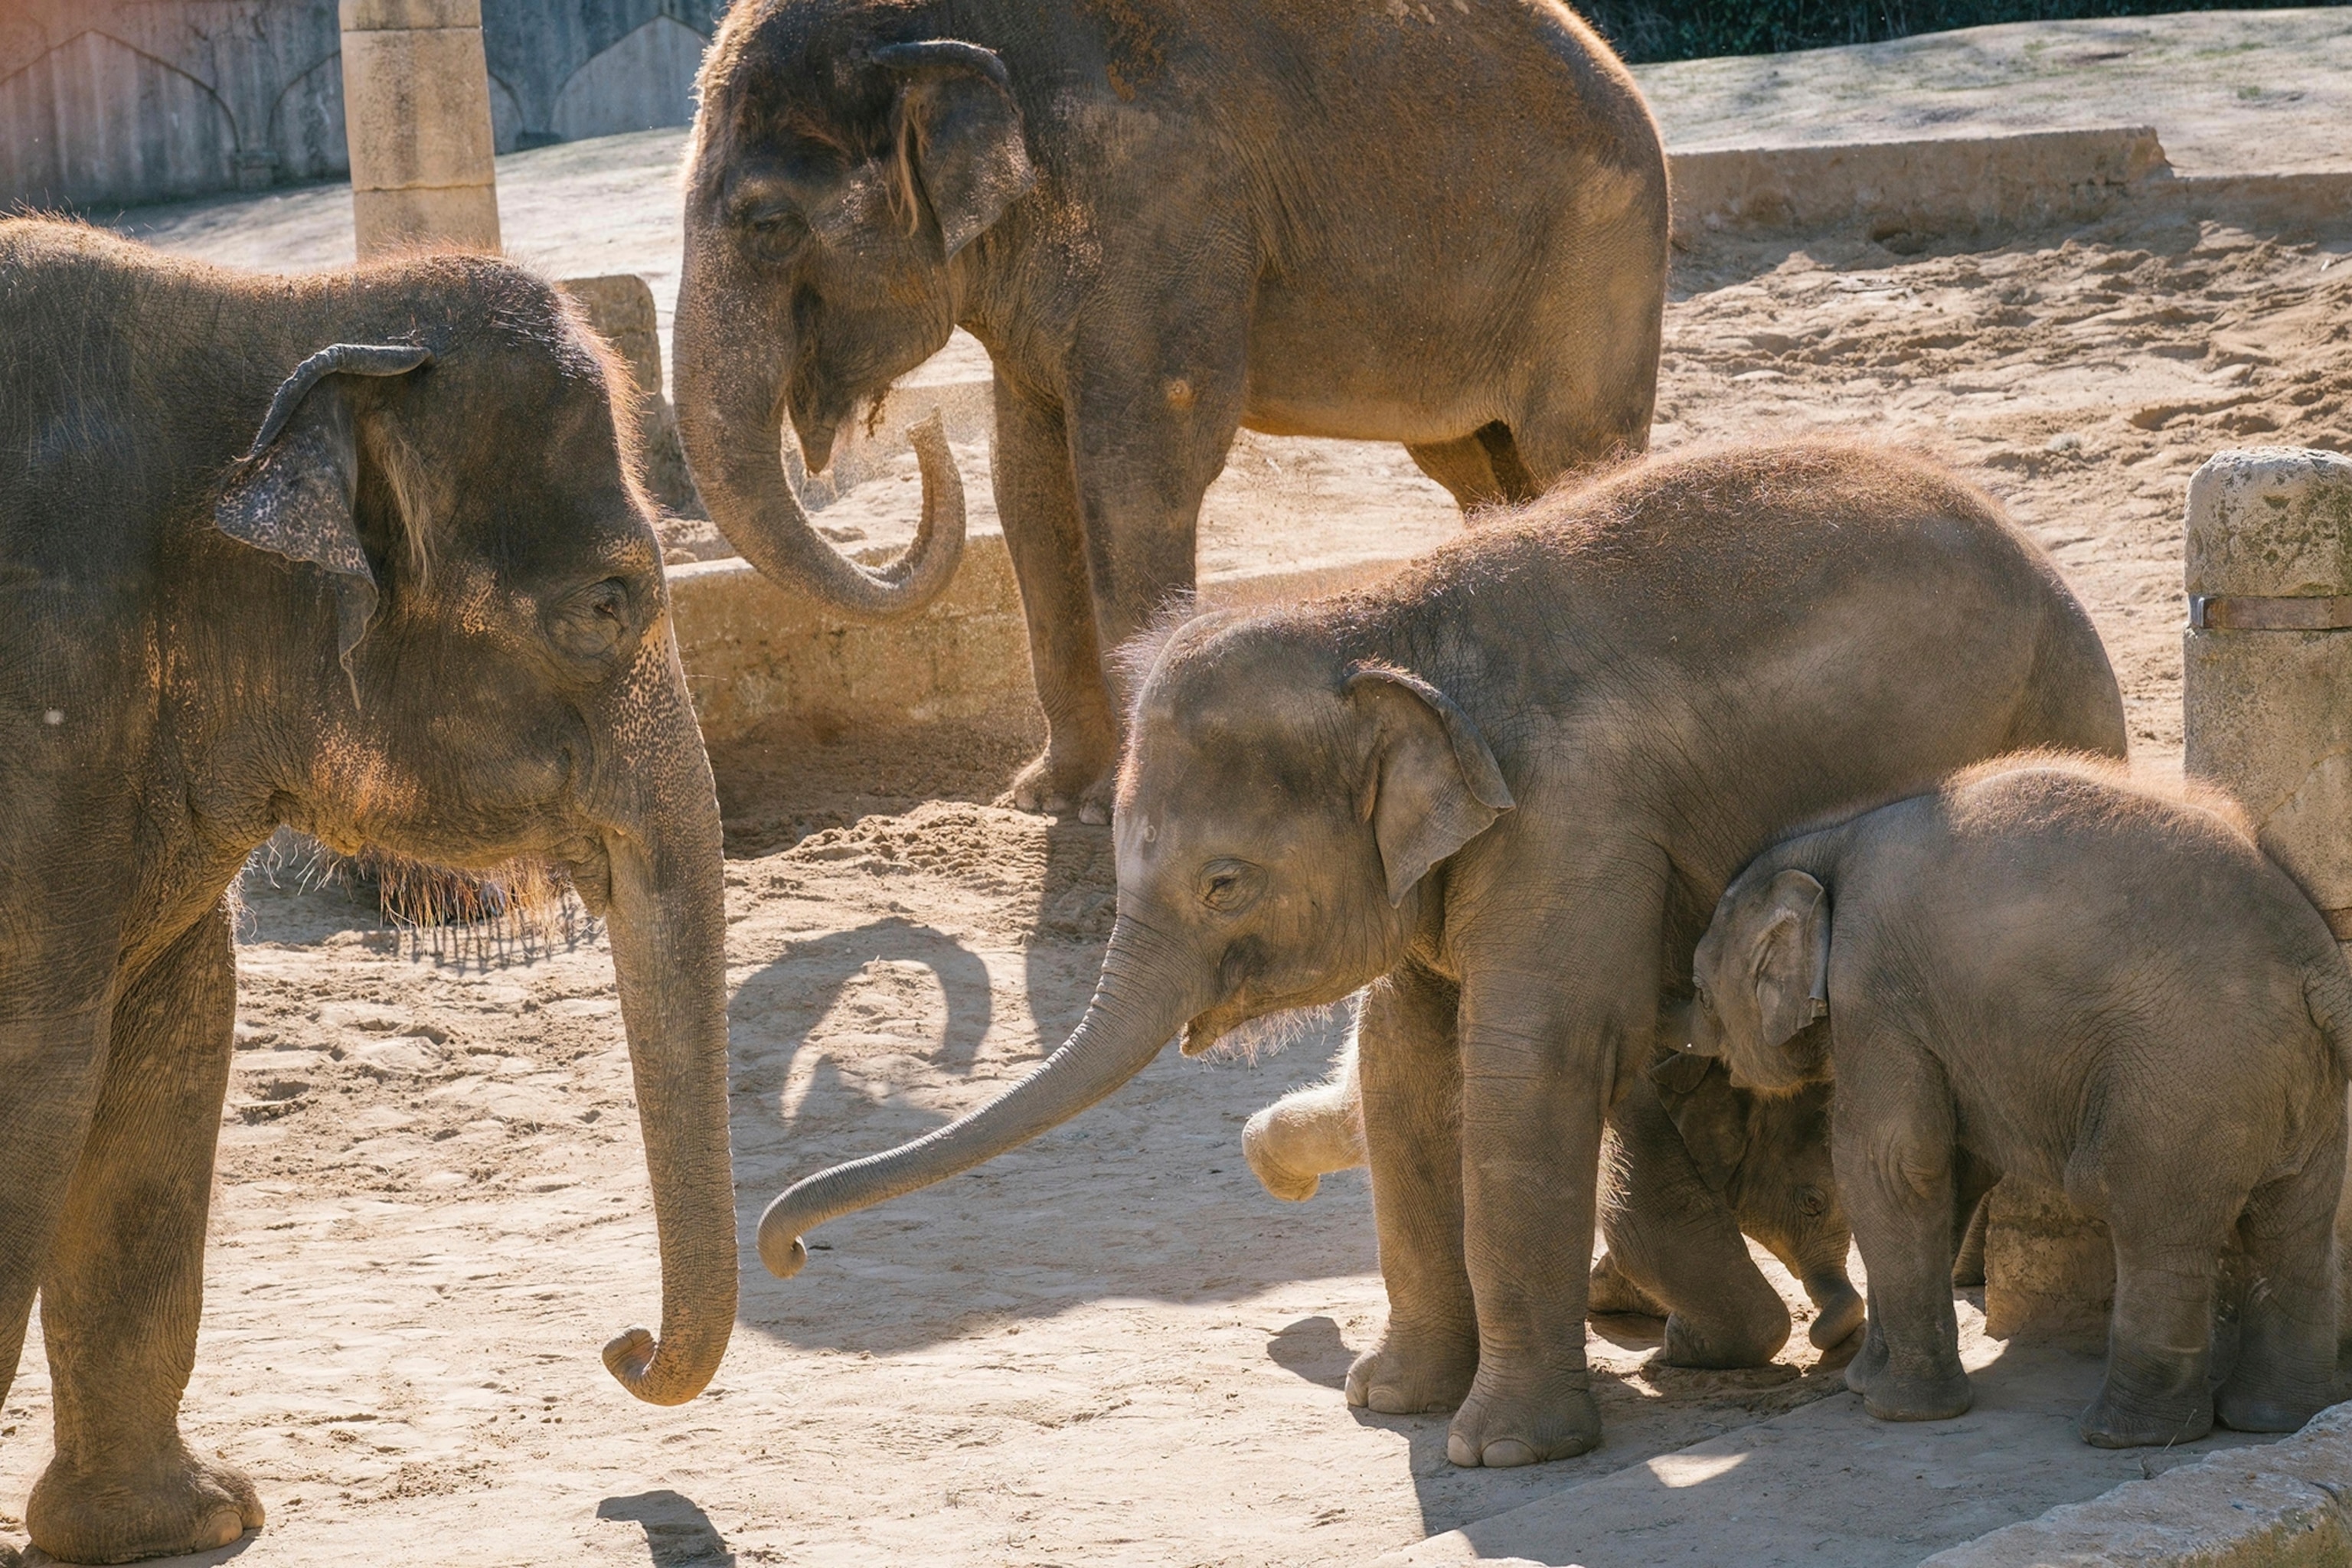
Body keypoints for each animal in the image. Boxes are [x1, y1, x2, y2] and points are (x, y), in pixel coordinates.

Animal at [0, 220, 738, 1563]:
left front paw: (187, 1522)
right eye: (607, 606)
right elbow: (36, 1068)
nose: (622, 1347)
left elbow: (169, 1042)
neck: (266, 316)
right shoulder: (39, 693)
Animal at [672, 0, 1671, 823]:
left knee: (1575, 451)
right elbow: (1027, 480)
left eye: (767, 225)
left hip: (1598, 267)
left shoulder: (1162, 209)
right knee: (1482, 468)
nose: (919, 430)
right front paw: (1044, 799)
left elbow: (1135, 473)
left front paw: (1119, 806)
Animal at [1244, 1004, 1868, 1355]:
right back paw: (1273, 1167)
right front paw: (1670, 1337)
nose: (1841, 1338)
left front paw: (1622, 1299)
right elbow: (1638, 1218)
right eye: (1811, 1202)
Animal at [1684, 754, 2350, 1447]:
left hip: (2187, 1073)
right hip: (2296, 1082)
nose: (1687, 1045)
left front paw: (1896, 1411)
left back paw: (2121, 1435)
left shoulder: (1871, 989)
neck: (1828, 839)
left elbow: (1893, 1164)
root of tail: (2318, 963)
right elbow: (1953, 1168)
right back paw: (2272, 1420)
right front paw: (1865, 1384)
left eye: (1701, 990)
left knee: (2149, 1220)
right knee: (2295, 1224)